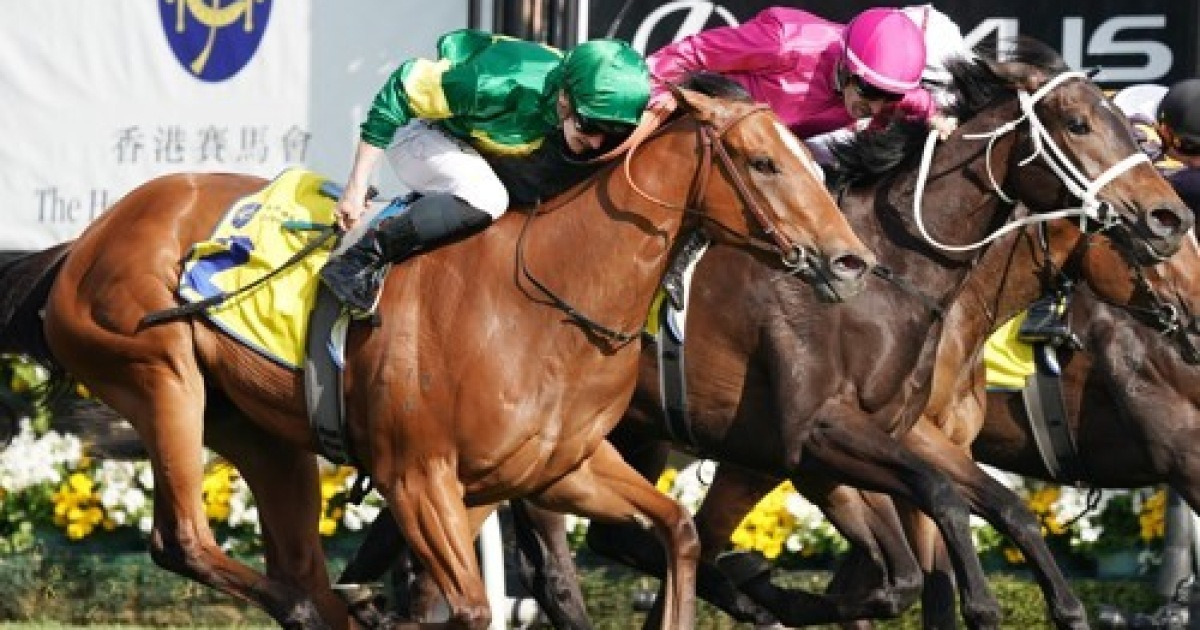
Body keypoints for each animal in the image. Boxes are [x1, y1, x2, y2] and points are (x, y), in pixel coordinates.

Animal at [0, 88, 874, 630]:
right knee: (184, 541)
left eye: (812, 159)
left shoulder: (561, 468)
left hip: (262, 433)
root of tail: (87, 238)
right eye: (764, 162)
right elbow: (471, 607)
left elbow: (679, 533)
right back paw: (324, 608)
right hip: (159, 375)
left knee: (296, 562)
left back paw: (334, 606)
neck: (548, 299)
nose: (851, 260)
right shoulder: (416, 475)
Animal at [336, 39, 1195, 629]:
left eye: (1130, 130)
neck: (889, 277)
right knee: (544, 559)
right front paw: (766, 592)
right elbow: (926, 534)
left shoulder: (879, 436)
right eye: (1080, 123)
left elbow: (974, 521)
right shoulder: (812, 440)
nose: (1168, 218)